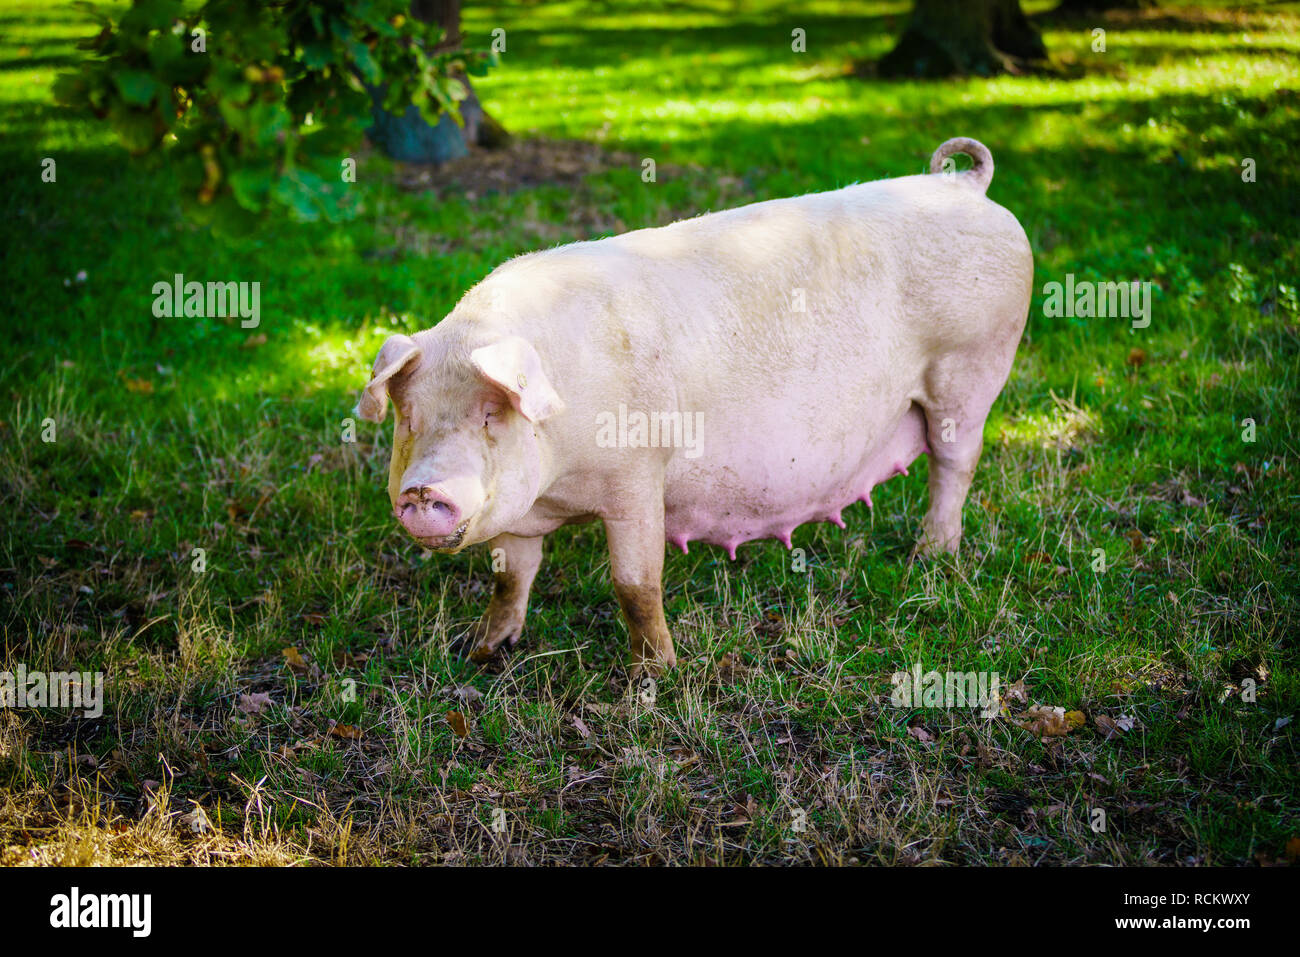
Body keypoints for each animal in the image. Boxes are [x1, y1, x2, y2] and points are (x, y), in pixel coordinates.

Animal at [357, 137, 1033, 676]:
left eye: (489, 416)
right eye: (409, 420)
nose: (422, 490)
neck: (560, 485)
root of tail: (966, 185)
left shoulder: (637, 475)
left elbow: (635, 584)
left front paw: (654, 677)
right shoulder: (519, 512)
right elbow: (510, 577)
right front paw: (482, 653)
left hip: (970, 371)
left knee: (955, 463)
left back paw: (931, 555)